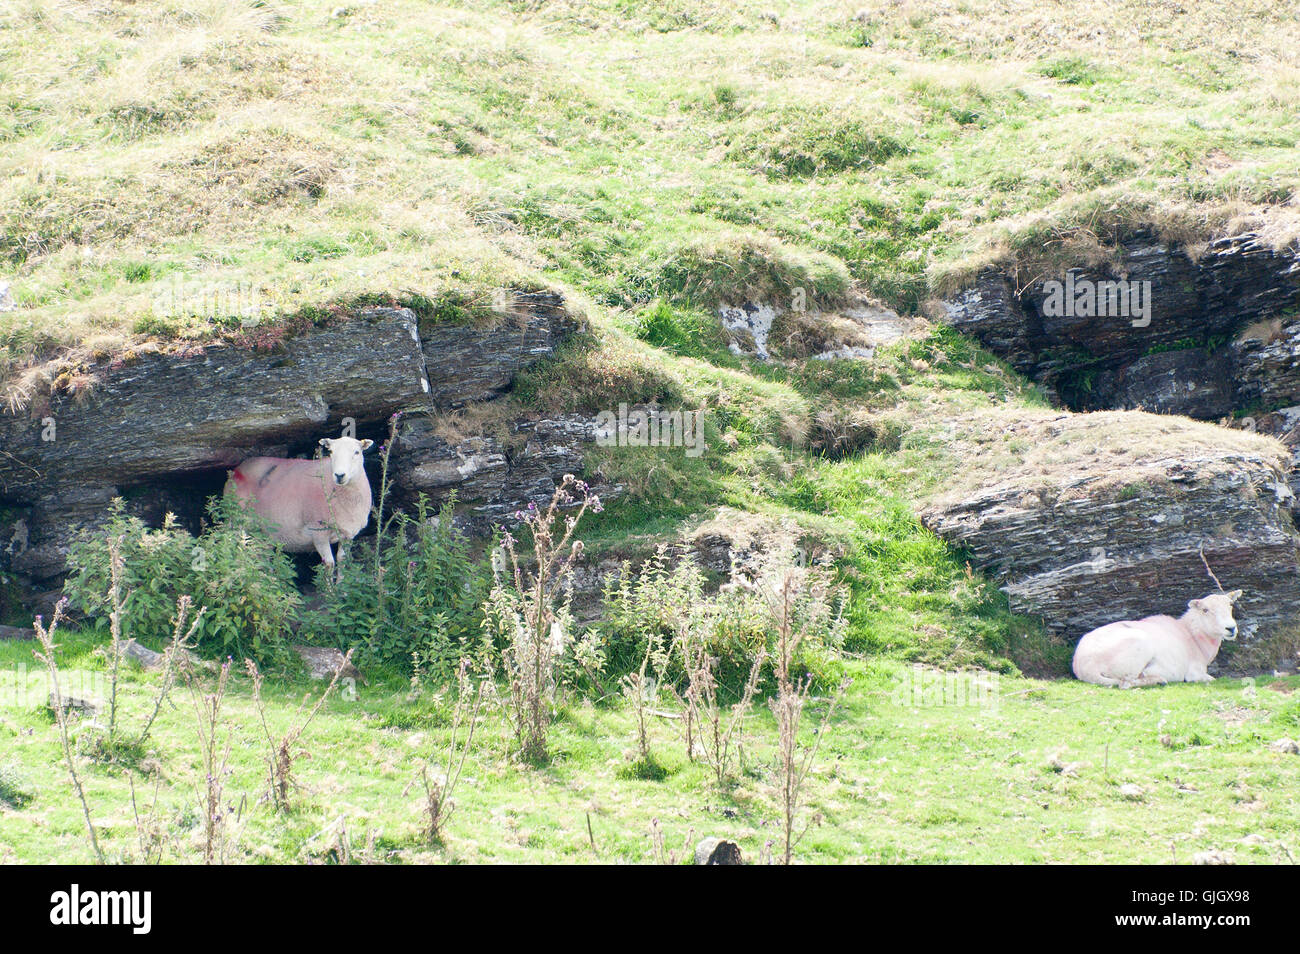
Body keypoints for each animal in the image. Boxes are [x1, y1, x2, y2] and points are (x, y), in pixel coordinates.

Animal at [225, 435, 374, 579]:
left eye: (357, 452)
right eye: (331, 452)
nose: (339, 475)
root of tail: (238, 468)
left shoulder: (348, 536)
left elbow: (342, 562)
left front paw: (341, 586)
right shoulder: (318, 532)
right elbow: (329, 565)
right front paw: (329, 588)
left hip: (263, 533)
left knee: (261, 557)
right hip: (237, 521)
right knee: (234, 548)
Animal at [1071, 590, 1242, 688]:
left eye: (1230, 604)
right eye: (1205, 610)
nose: (1231, 628)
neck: (1193, 635)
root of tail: (1084, 666)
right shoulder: (1195, 673)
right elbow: (1211, 679)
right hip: (1138, 647)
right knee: (1126, 683)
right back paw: (1158, 680)